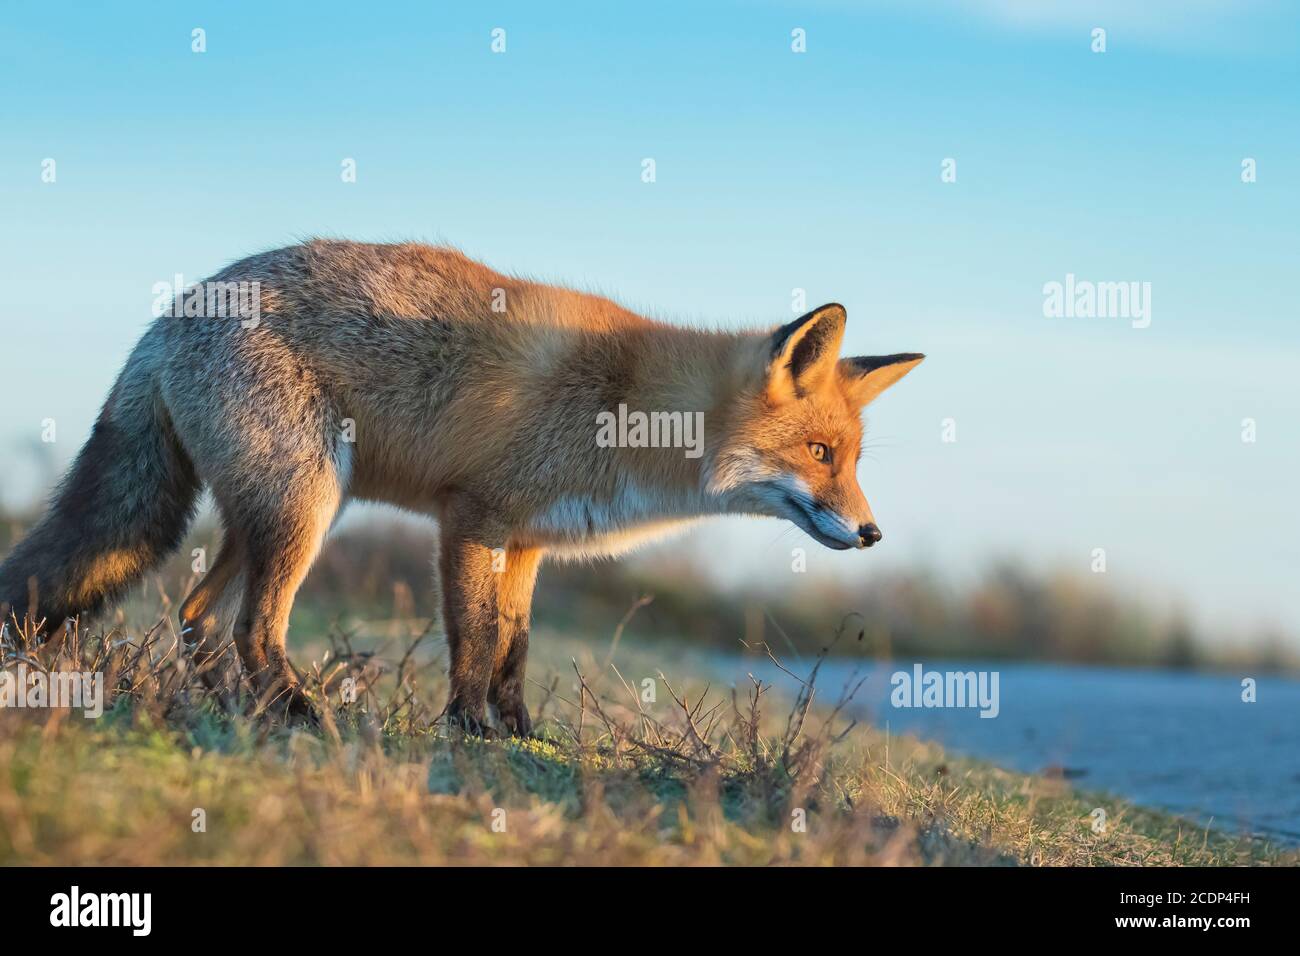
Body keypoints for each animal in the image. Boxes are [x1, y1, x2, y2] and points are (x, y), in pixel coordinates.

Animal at [0, 239, 923, 733]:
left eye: (851, 461)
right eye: (819, 453)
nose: (873, 533)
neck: (632, 409)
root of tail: (171, 312)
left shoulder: (528, 541)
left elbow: (514, 647)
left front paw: (517, 735)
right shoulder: (471, 518)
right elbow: (475, 641)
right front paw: (468, 728)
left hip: (269, 515)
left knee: (197, 616)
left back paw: (238, 709)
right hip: (305, 509)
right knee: (252, 627)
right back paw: (297, 711)